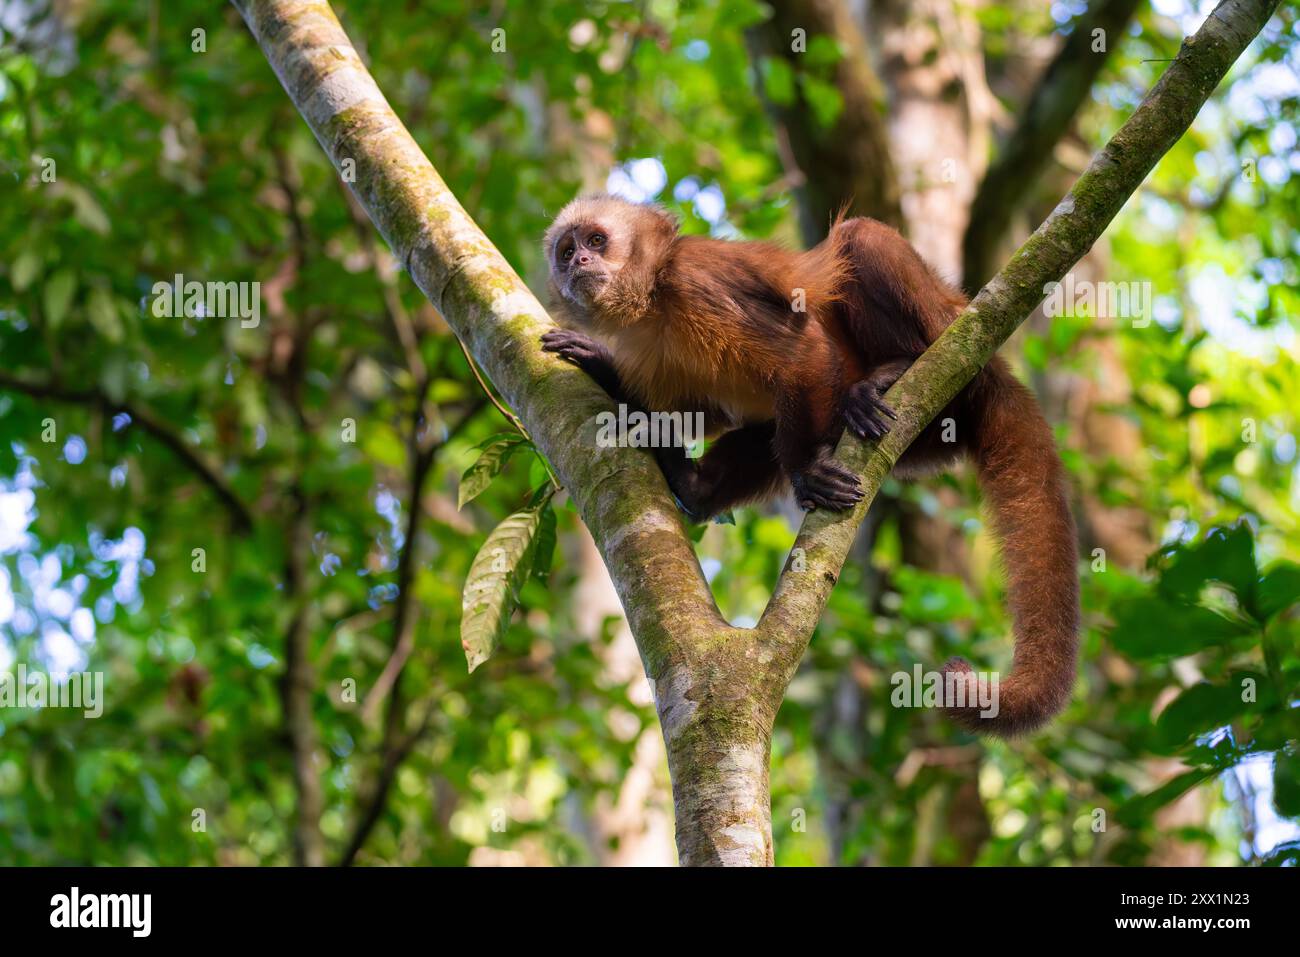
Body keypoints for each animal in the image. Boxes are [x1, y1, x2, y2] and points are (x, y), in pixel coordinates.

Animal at [540, 194, 1078, 736]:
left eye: (597, 241)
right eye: (566, 251)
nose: (579, 261)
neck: (651, 299)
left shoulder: (696, 283)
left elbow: (801, 354)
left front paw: (806, 475)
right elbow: (704, 413)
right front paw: (604, 369)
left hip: (949, 351)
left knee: (862, 240)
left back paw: (899, 366)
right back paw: (694, 487)